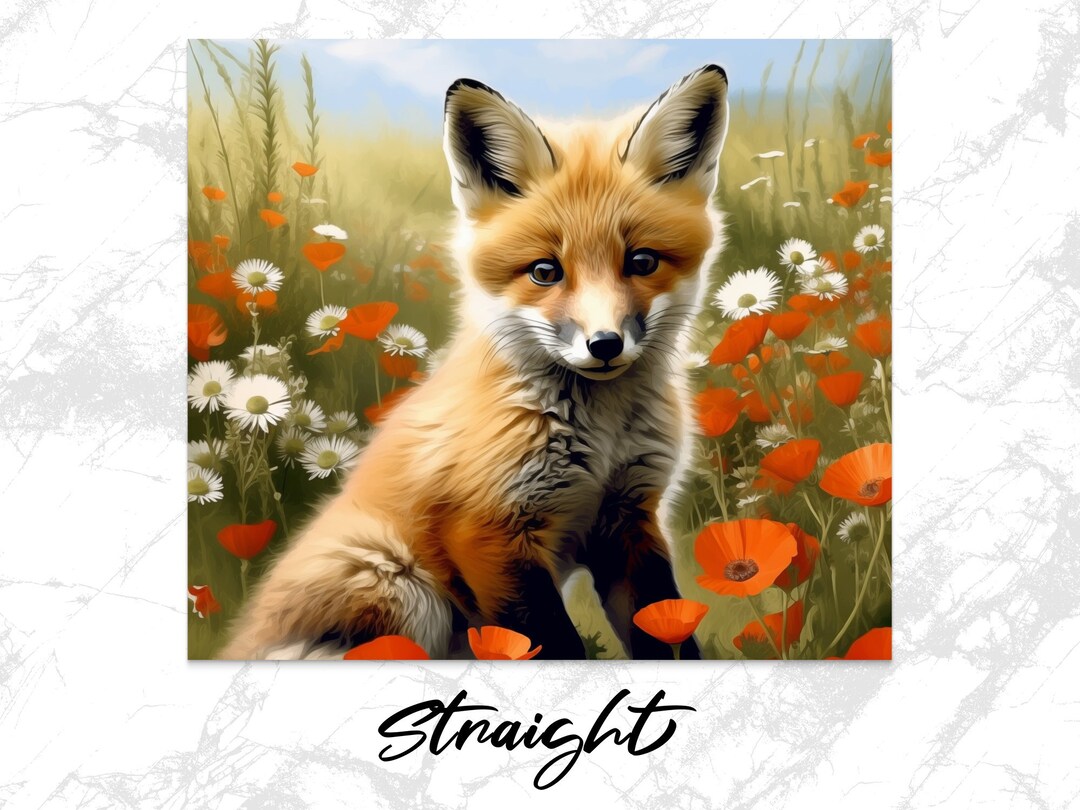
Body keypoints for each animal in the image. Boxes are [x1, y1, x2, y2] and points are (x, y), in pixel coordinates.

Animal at [218, 63, 730, 661]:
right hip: (397, 581)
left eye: (642, 262)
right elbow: (550, 645)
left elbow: (669, 634)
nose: (604, 345)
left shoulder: (630, 520)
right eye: (545, 272)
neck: (599, 442)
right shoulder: (489, 533)